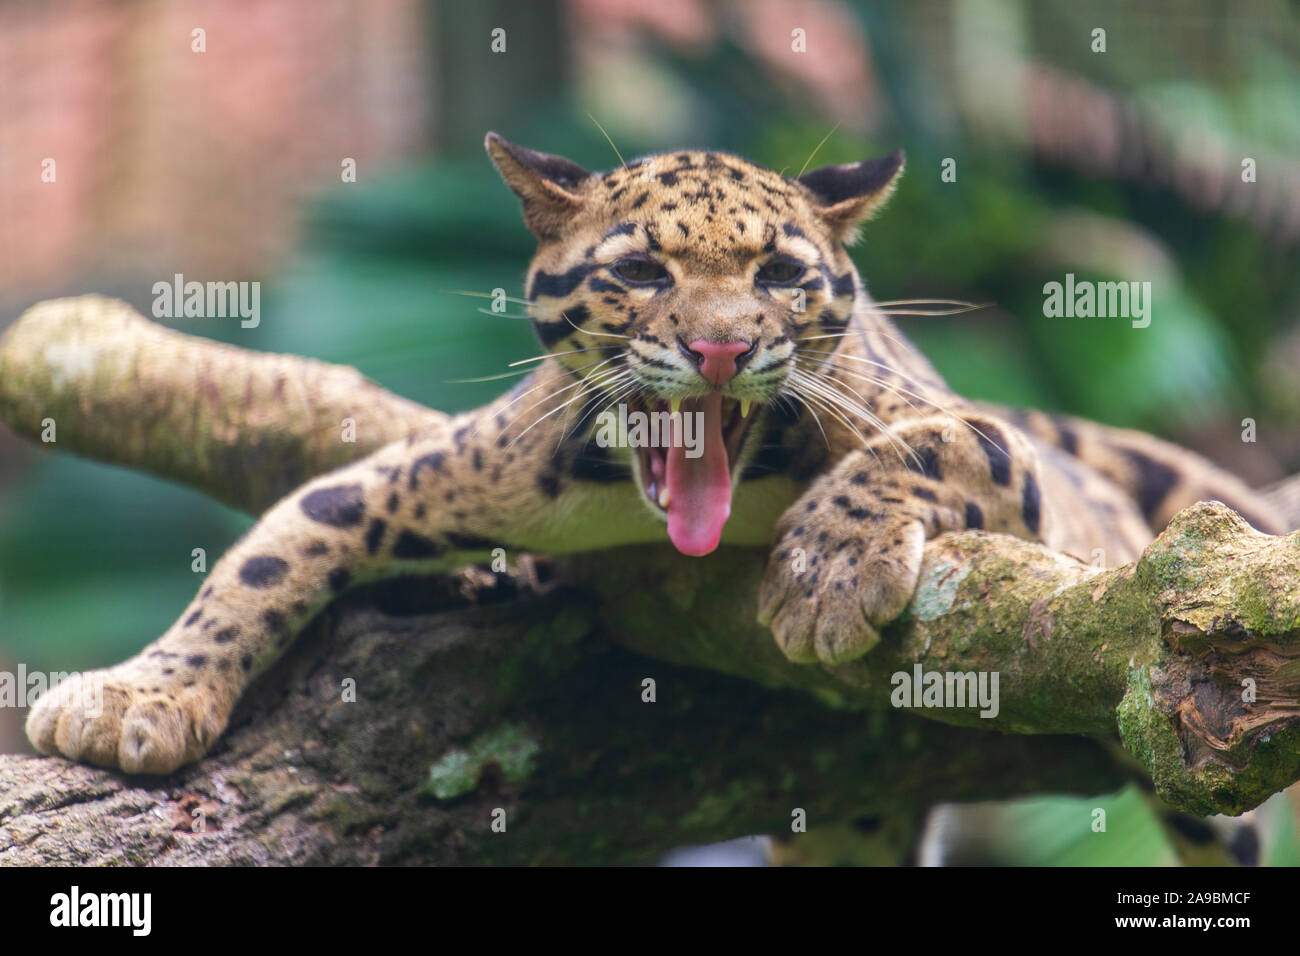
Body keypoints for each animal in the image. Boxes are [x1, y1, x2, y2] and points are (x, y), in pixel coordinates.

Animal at [26, 132, 1290, 775]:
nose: (722, 346)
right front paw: (141, 693)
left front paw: (825, 572)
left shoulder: (1004, 458)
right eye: (639, 270)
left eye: (779, 272)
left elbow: (926, 440)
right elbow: (264, 559)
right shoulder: (428, 470)